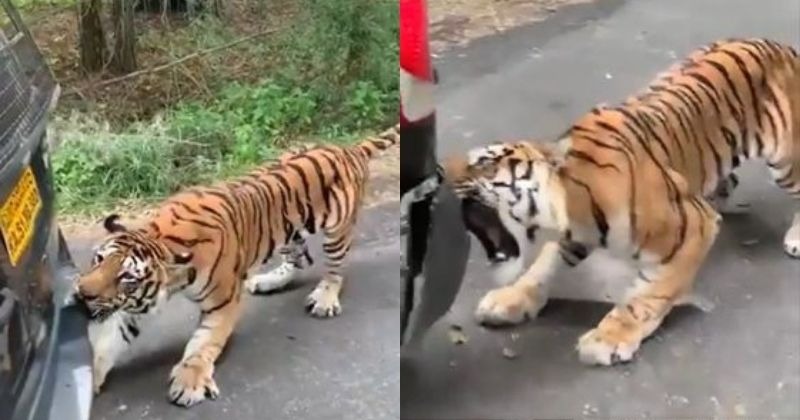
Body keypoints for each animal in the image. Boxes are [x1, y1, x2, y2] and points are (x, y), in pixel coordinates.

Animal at [72, 124, 399, 407]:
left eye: (126, 277)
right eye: (98, 260)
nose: (81, 293)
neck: (161, 238)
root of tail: (348, 149)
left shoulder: (222, 303)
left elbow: (202, 345)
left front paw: (190, 381)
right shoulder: (133, 307)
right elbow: (109, 342)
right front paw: (90, 380)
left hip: (336, 231)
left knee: (334, 270)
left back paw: (325, 299)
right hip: (288, 230)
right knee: (300, 258)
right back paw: (268, 281)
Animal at [442, 38, 799, 366]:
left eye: (482, 163)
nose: (442, 170)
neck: (571, 204)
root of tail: (779, 46)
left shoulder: (695, 226)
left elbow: (648, 294)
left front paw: (610, 337)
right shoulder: (572, 238)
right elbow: (542, 268)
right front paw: (509, 299)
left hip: (786, 161)